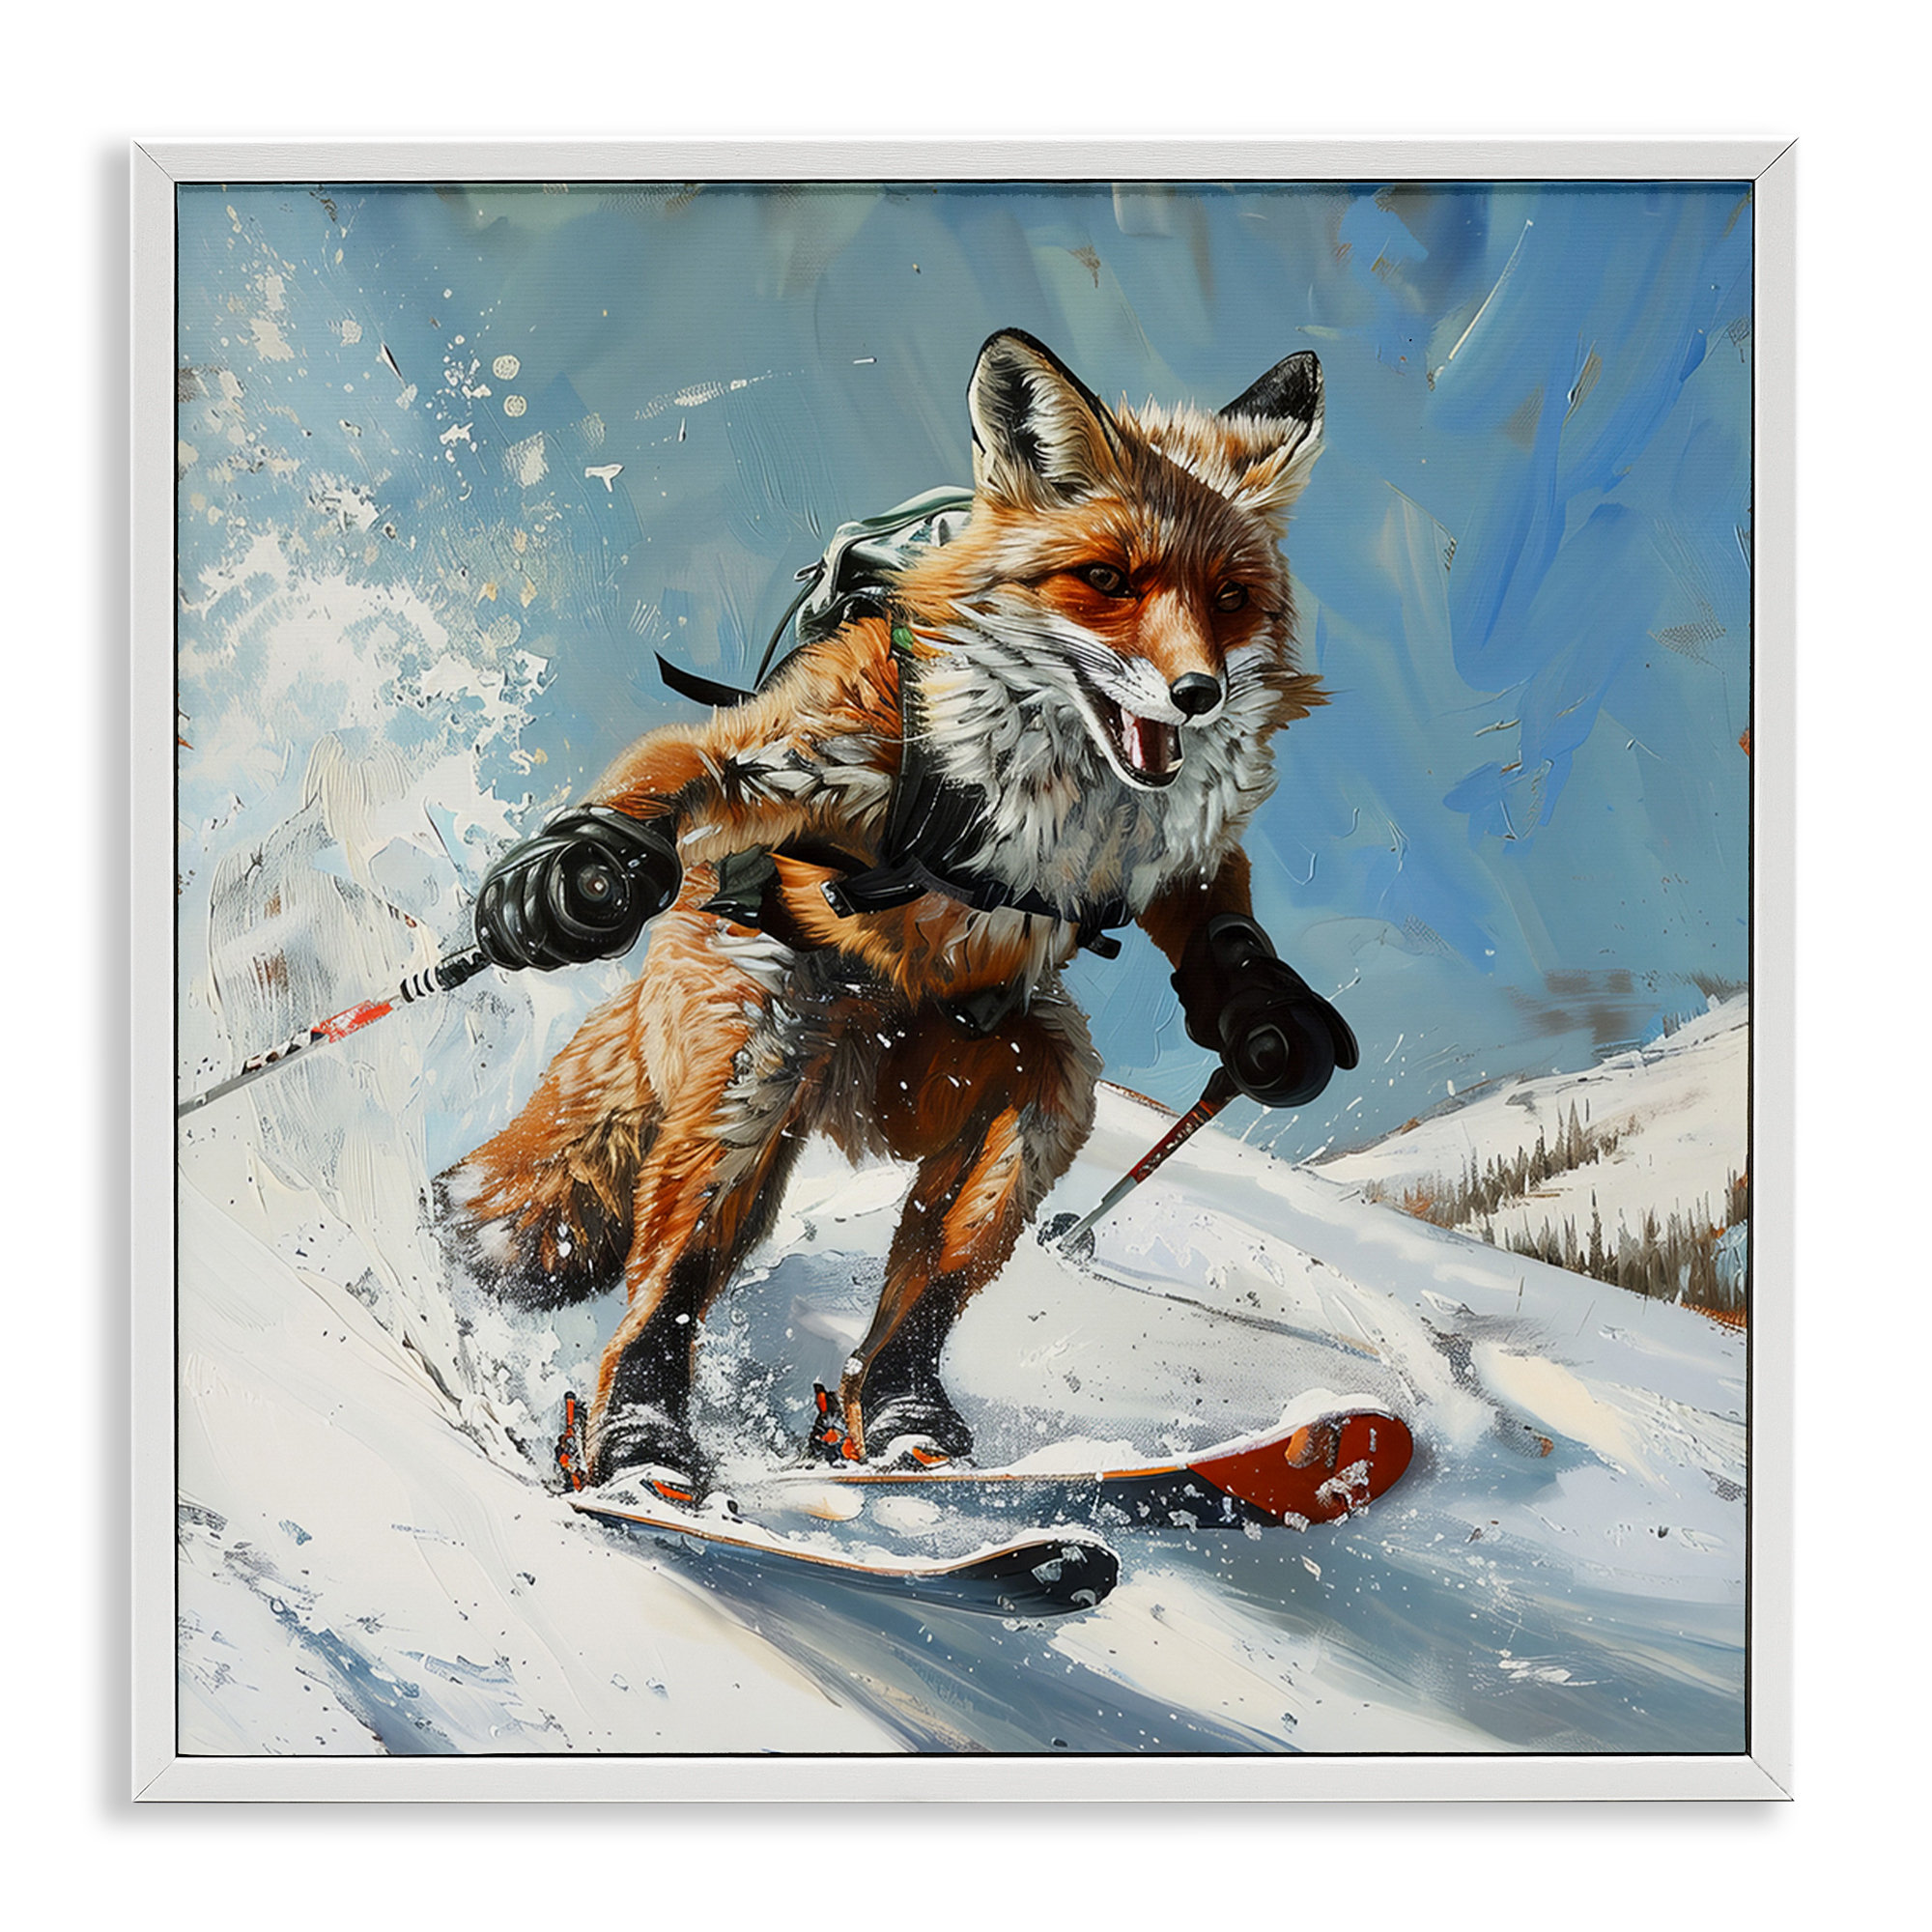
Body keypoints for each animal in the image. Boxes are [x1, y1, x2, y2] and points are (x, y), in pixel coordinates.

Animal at [437, 329, 1358, 1491]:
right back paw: (640, 1440)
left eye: (1230, 597)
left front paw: (1264, 1018)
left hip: (1008, 1070)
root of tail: (846, 1077)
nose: (1197, 696)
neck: (1062, 798)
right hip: (756, 1042)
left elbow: (1203, 906)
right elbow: (699, 762)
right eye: (1106, 579)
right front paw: (568, 873)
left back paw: (898, 1418)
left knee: (945, 1248)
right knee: (677, 1261)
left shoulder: (1172, 860)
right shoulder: (841, 724)